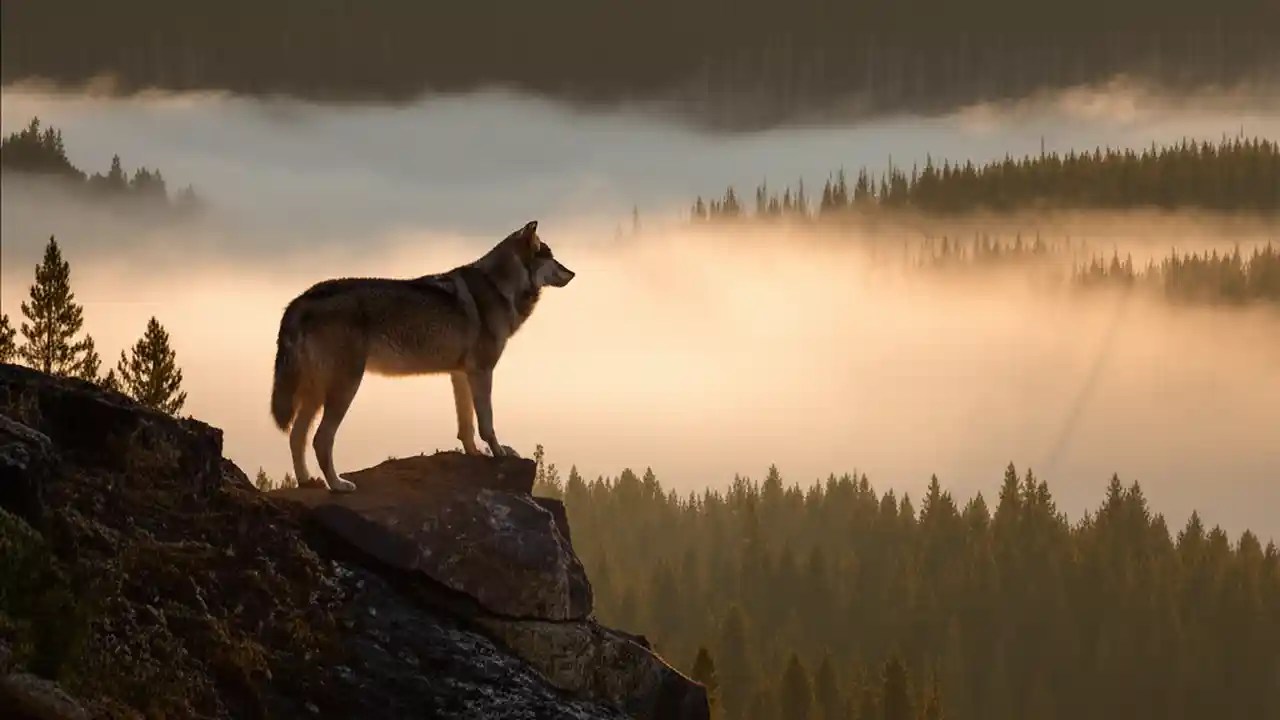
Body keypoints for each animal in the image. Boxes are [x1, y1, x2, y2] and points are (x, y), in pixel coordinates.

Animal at [269, 220, 574, 492]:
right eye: (551, 257)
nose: (572, 273)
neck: (499, 286)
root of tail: (300, 300)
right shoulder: (482, 371)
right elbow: (487, 423)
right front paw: (499, 453)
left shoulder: (460, 374)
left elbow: (466, 426)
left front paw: (474, 454)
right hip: (344, 387)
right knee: (321, 439)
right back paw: (337, 485)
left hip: (316, 392)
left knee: (296, 436)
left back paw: (307, 481)